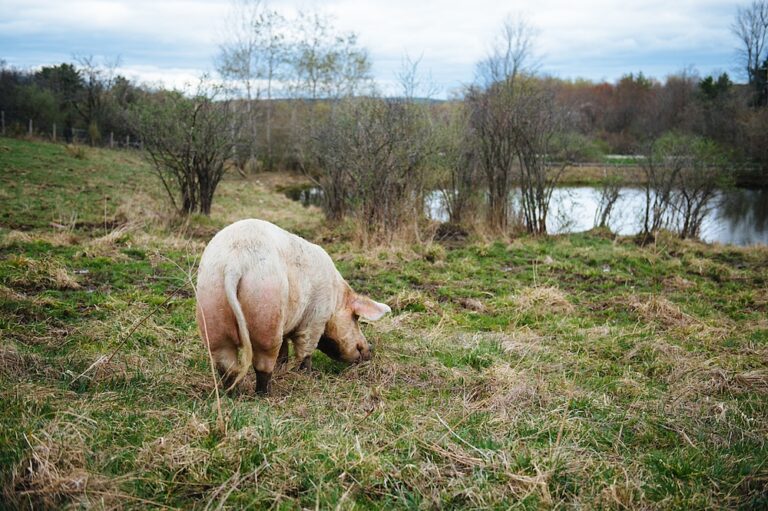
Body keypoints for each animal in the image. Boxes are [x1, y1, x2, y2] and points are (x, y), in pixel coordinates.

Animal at [195, 219, 391, 394]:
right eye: (356, 317)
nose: (369, 351)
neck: (336, 298)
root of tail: (235, 263)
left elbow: (284, 350)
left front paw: (284, 368)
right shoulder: (316, 318)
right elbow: (305, 349)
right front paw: (307, 375)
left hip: (211, 304)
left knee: (226, 365)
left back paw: (232, 394)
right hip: (266, 307)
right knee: (263, 363)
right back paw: (264, 394)